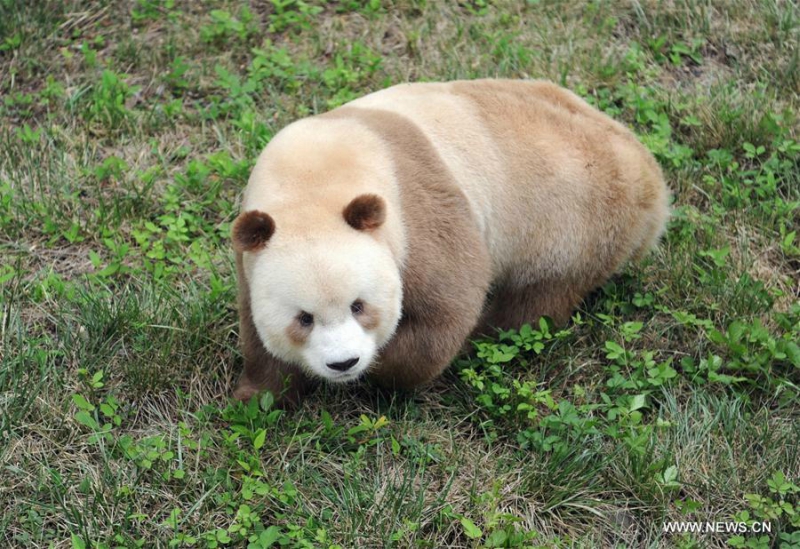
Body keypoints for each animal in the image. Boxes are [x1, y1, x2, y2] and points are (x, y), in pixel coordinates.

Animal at [231, 79, 670, 405]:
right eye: (303, 318)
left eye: (359, 306)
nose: (344, 363)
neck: (312, 181)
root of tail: (651, 179)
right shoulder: (252, 253)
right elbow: (256, 328)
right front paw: (257, 396)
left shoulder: (415, 211)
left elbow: (447, 306)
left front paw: (382, 368)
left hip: (573, 223)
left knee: (535, 302)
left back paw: (485, 335)